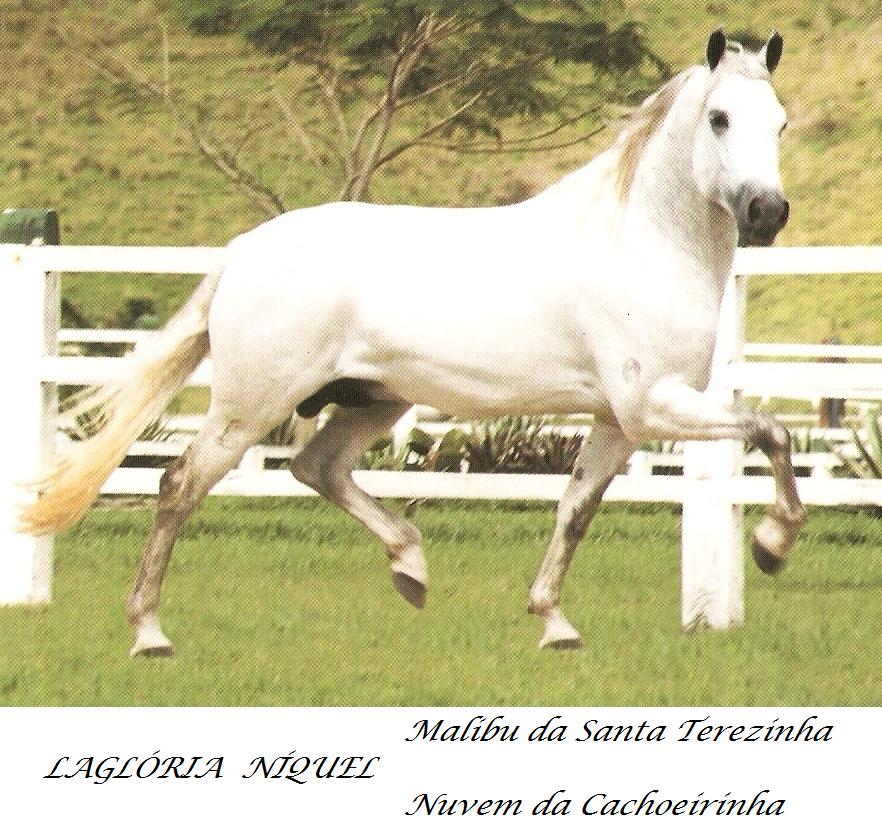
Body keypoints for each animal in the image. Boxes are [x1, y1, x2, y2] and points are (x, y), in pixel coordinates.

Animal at [20, 29, 804, 656]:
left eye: (781, 122)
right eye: (719, 117)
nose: (767, 211)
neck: (640, 242)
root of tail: (242, 251)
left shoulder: (619, 420)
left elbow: (575, 510)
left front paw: (554, 624)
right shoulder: (654, 405)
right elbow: (772, 430)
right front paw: (772, 544)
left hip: (373, 401)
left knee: (316, 467)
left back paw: (411, 570)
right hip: (250, 407)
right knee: (179, 485)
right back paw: (149, 633)